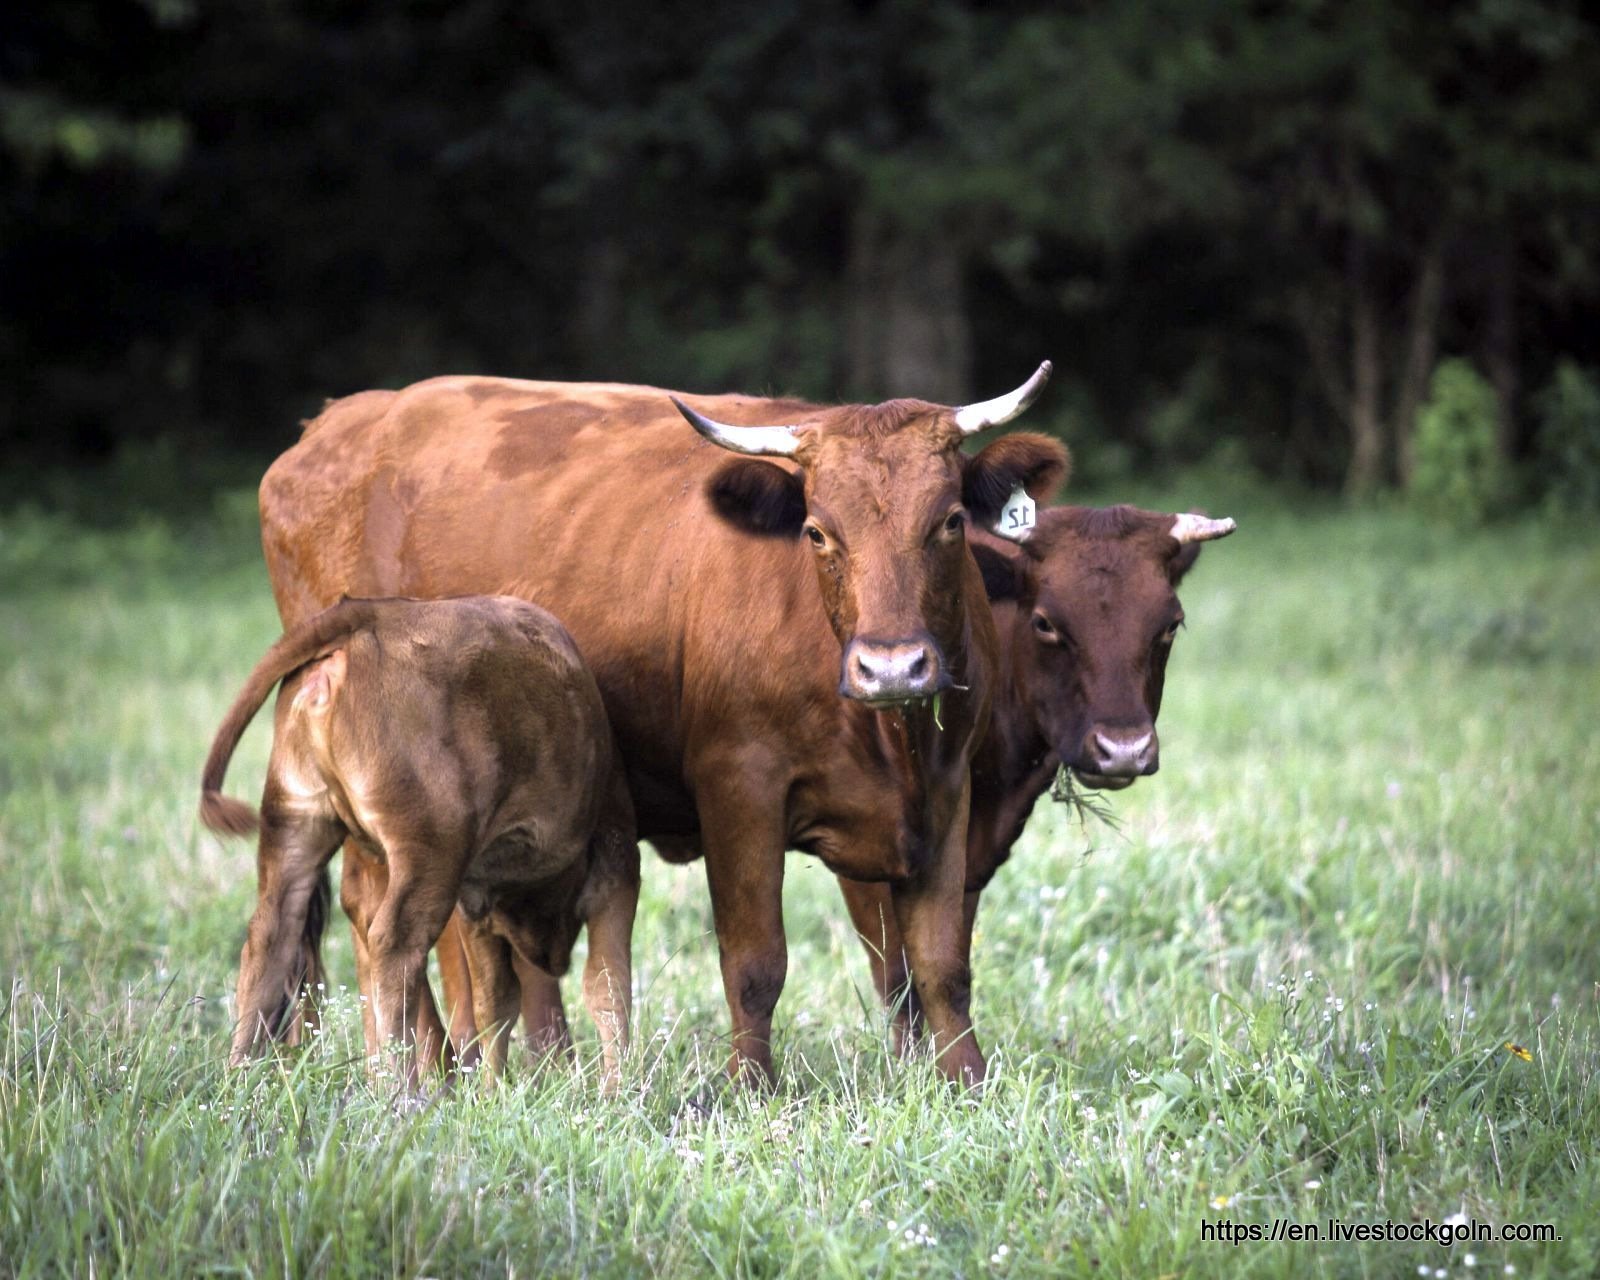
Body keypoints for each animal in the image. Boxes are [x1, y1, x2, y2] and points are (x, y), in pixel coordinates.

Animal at [198, 595, 640, 1087]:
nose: (553, 958)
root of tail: (372, 613)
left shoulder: (477, 897)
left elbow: (496, 1000)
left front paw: (493, 1090)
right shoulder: (616, 864)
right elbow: (607, 987)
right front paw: (619, 1087)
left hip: (295, 823)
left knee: (269, 936)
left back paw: (239, 1078)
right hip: (429, 851)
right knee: (394, 946)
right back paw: (402, 1091)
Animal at [257, 369, 1069, 1086]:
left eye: (951, 522)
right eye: (817, 532)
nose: (893, 668)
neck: (890, 744)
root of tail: (339, 421)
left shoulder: (947, 789)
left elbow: (941, 964)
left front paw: (967, 1083)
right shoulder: (739, 787)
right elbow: (755, 962)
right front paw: (753, 1089)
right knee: (387, 919)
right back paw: (428, 1070)